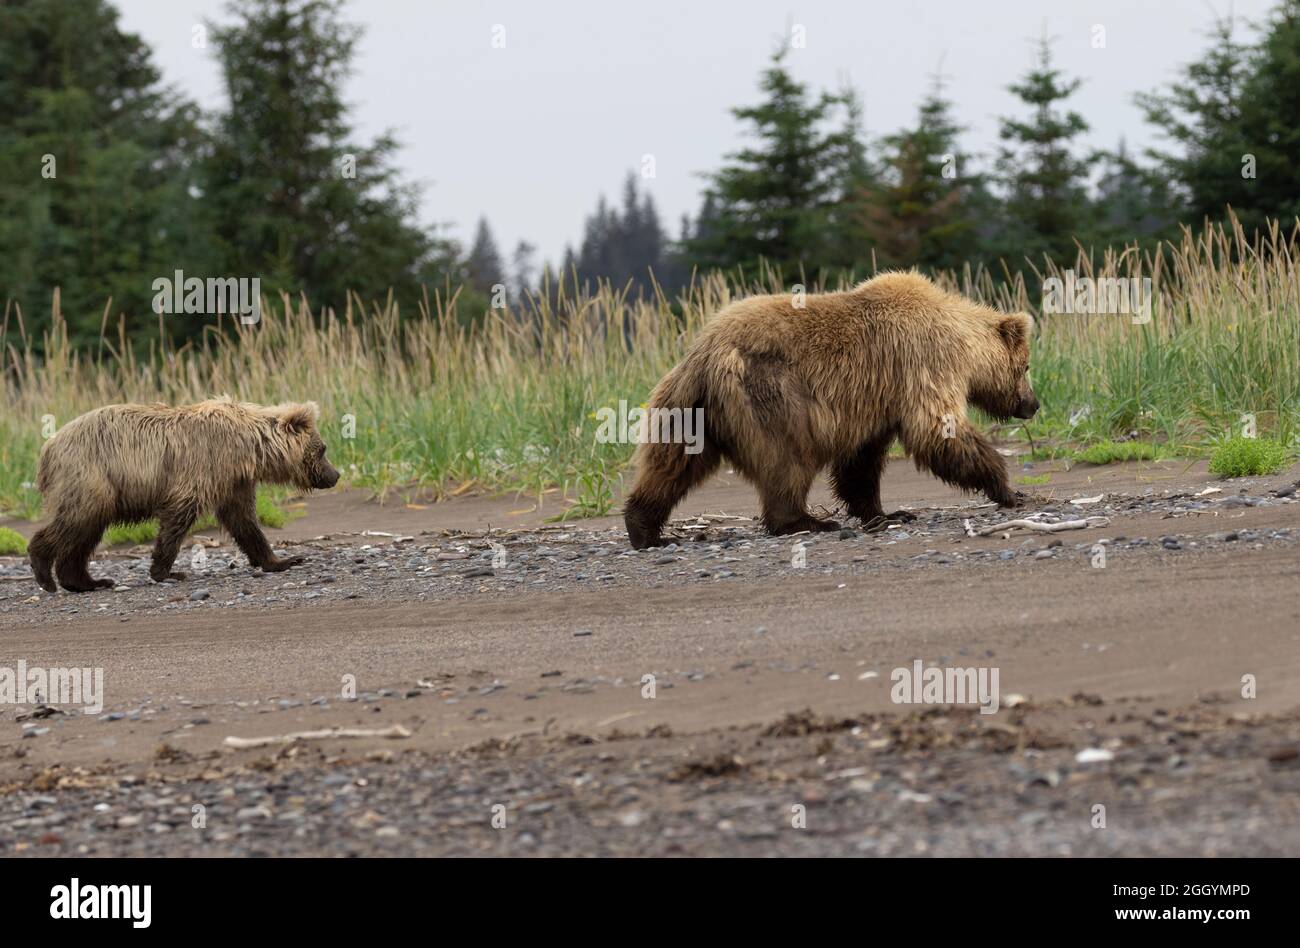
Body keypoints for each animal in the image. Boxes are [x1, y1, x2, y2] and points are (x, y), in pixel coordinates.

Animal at [28, 397, 340, 593]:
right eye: (323, 448)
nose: (334, 475)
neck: (248, 447)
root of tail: (47, 448)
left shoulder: (234, 481)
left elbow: (244, 522)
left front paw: (282, 560)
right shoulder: (203, 467)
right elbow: (179, 517)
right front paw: (166, 571)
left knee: (85, 532)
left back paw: (89, 581)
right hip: (91, 475)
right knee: (77, 522)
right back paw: (44, 571)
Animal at [622, 271, 1038, 549]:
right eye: (1027, 366)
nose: (1032, 404)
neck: (962, 342)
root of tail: (705, 349)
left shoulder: (878, 401)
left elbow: (861, 462)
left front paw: (888, 513)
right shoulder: (923, 363)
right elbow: (938, 429)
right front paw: (1008, 489)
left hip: (688, 407)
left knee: (671, 464)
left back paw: (645, 529)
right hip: (773, 393)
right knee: (788, 458)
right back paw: (805, 521)